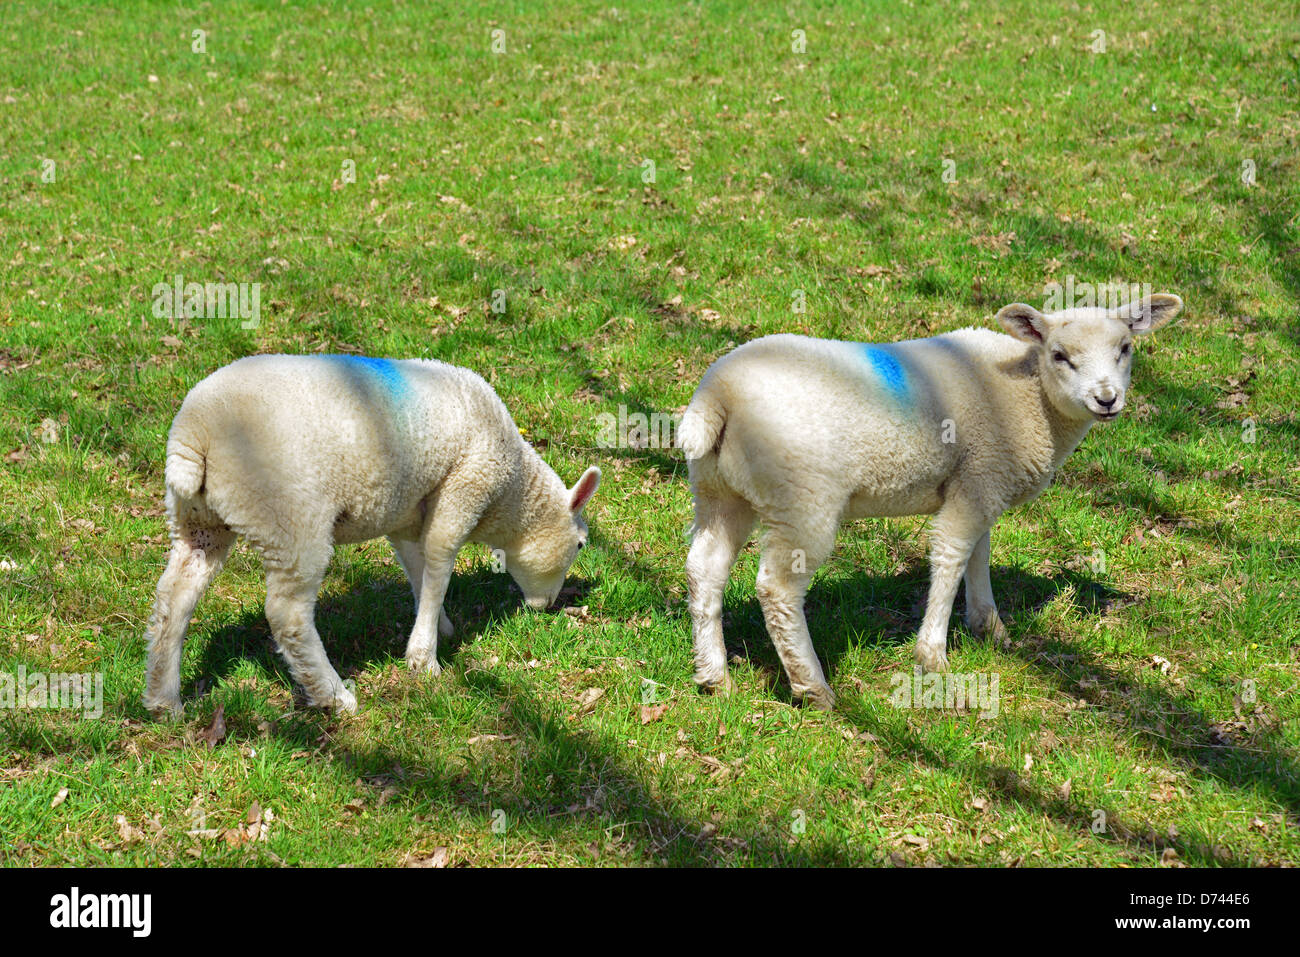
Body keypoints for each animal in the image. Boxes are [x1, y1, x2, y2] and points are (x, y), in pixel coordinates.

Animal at [142, 354, 601, 717]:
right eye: (580, 545)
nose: (547, 607)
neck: (512, 490)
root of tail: (195, 433)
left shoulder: (407, 511)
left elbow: (418, 567)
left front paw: (438, 627)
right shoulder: (465, 486)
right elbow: (440, 562)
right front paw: (425, 659)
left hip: (199, 521)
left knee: (174, 597)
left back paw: (164, 699)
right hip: (291, 519)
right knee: (288, 615)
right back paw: (333, 695)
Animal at [678, 293, 1182, 710]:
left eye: (1125, 349)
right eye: (1059, 355)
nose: (1106, 399)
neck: (1029, 393)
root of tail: (717, 395)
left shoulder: (981, 481)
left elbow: (979, 553)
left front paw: (989, 628)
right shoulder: (980, 477)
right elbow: (952, 556)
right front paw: (933, 654)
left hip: (720, 491)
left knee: (705, 568)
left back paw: (714, 676)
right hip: (802, 497)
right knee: (777, 589)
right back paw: (812, 687)